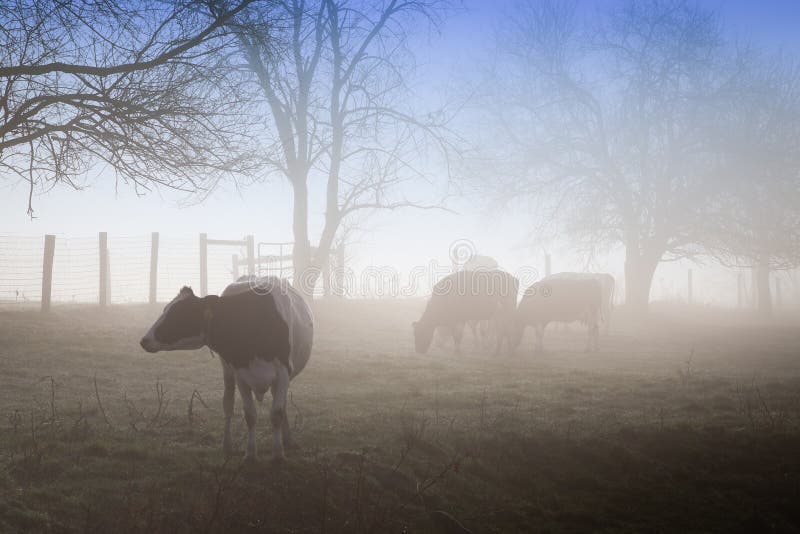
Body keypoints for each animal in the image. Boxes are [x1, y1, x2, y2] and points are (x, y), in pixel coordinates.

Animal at [140, 276, 313, 461]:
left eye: (179, 313)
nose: (144, 340)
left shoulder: (283, 373)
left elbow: (277, 413)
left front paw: (278, 454)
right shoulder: (241, 374)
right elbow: (250, 415)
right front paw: (250, 454)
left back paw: (287, 440)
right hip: (228, 372)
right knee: (228, 405)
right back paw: (227, 445)